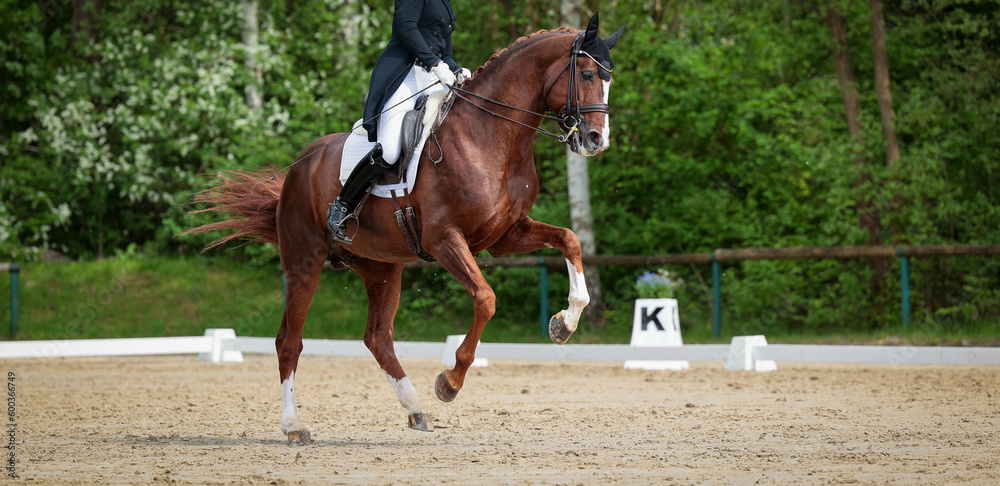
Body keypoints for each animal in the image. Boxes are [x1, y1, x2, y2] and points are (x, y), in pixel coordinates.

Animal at [186, 15, 624, 442]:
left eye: (609, 79)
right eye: (587, 74)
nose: (596, 140)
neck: (490, 136)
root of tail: (300, 165)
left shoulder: (505, 235)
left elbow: (569, 240)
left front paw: (564, 323)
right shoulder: (445, 240)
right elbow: (486, 298)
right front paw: (450, 382)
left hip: (381, 267)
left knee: (378, 337)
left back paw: (415, 409)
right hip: (304, 263)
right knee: (289, 341)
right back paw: (294, 427)